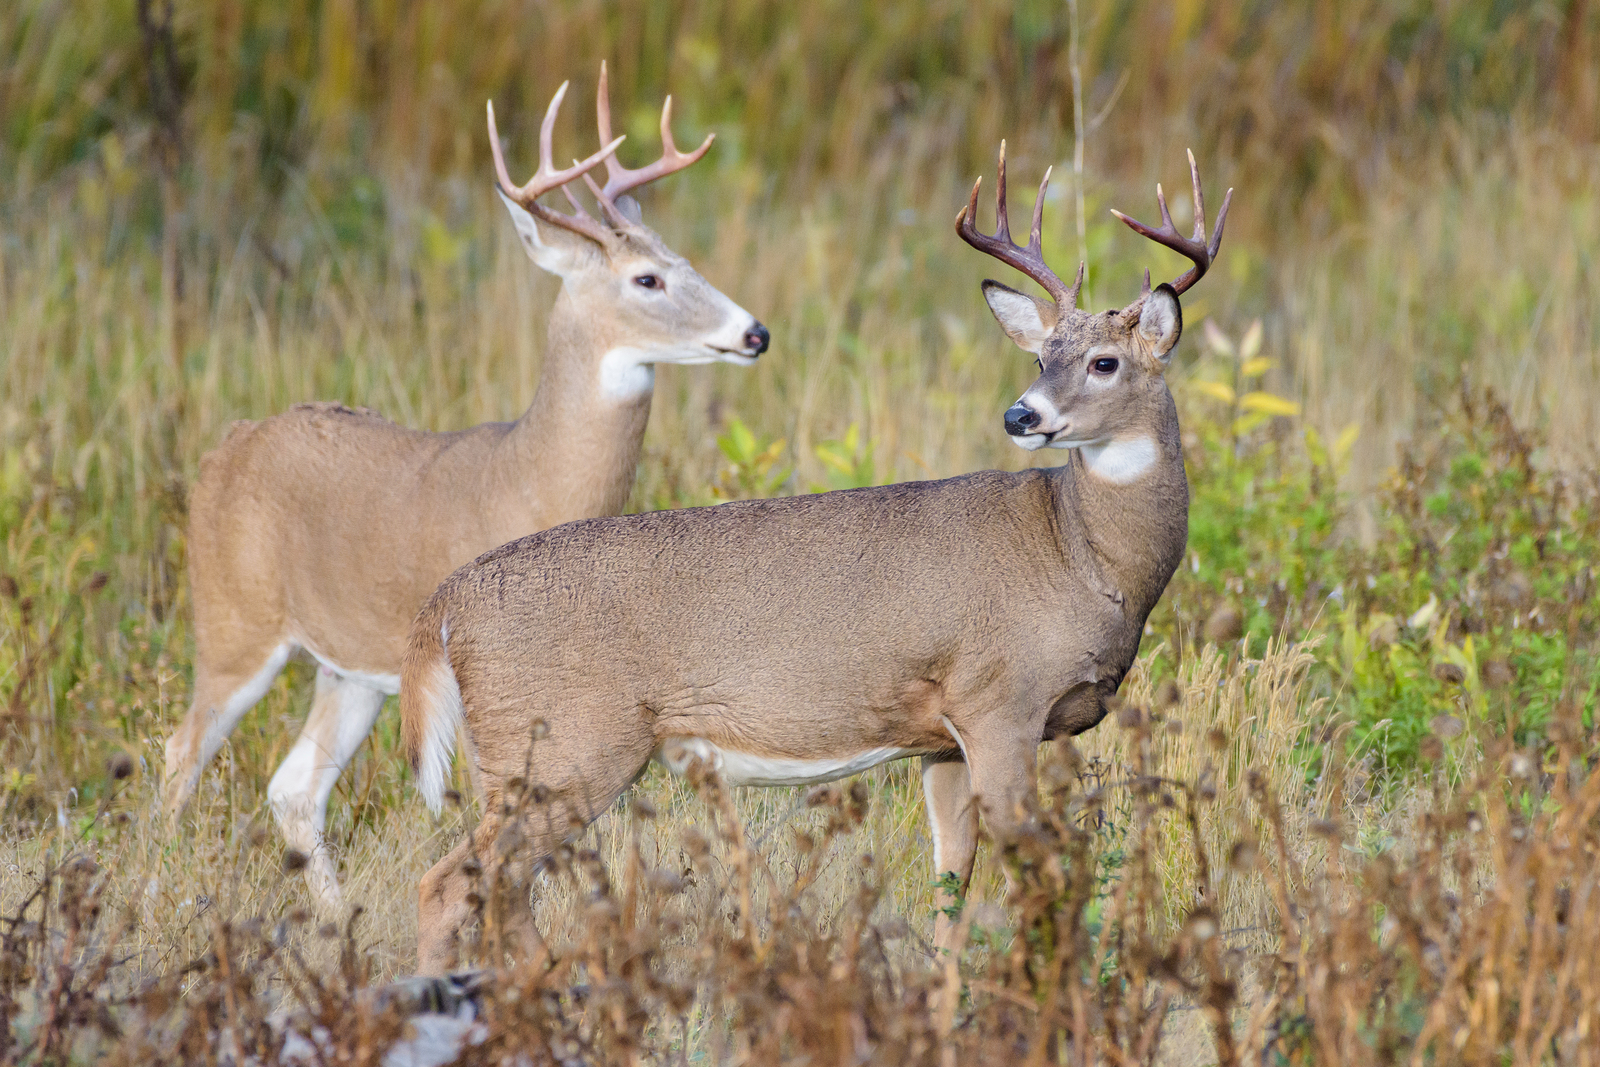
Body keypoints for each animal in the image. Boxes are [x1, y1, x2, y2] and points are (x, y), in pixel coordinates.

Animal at [161, 67, 769, 908]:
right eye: (647, 277)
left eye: (685, 257)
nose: (754, 331)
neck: (533, 478)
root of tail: (225, 448)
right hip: (233, 622)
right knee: (178, 754)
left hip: (350, 666)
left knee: (292, 785)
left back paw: (336, 919)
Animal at [400, 143, 1231, 973]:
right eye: (1041, 357)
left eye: (1103, 362)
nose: (1021, 414)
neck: (1081, 551)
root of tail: (444, 607)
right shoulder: (1002, 700)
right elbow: (1037, 880)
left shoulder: (944, 735)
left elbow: (951, 884)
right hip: (563, 743)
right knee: (448, 884)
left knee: (500, 890)